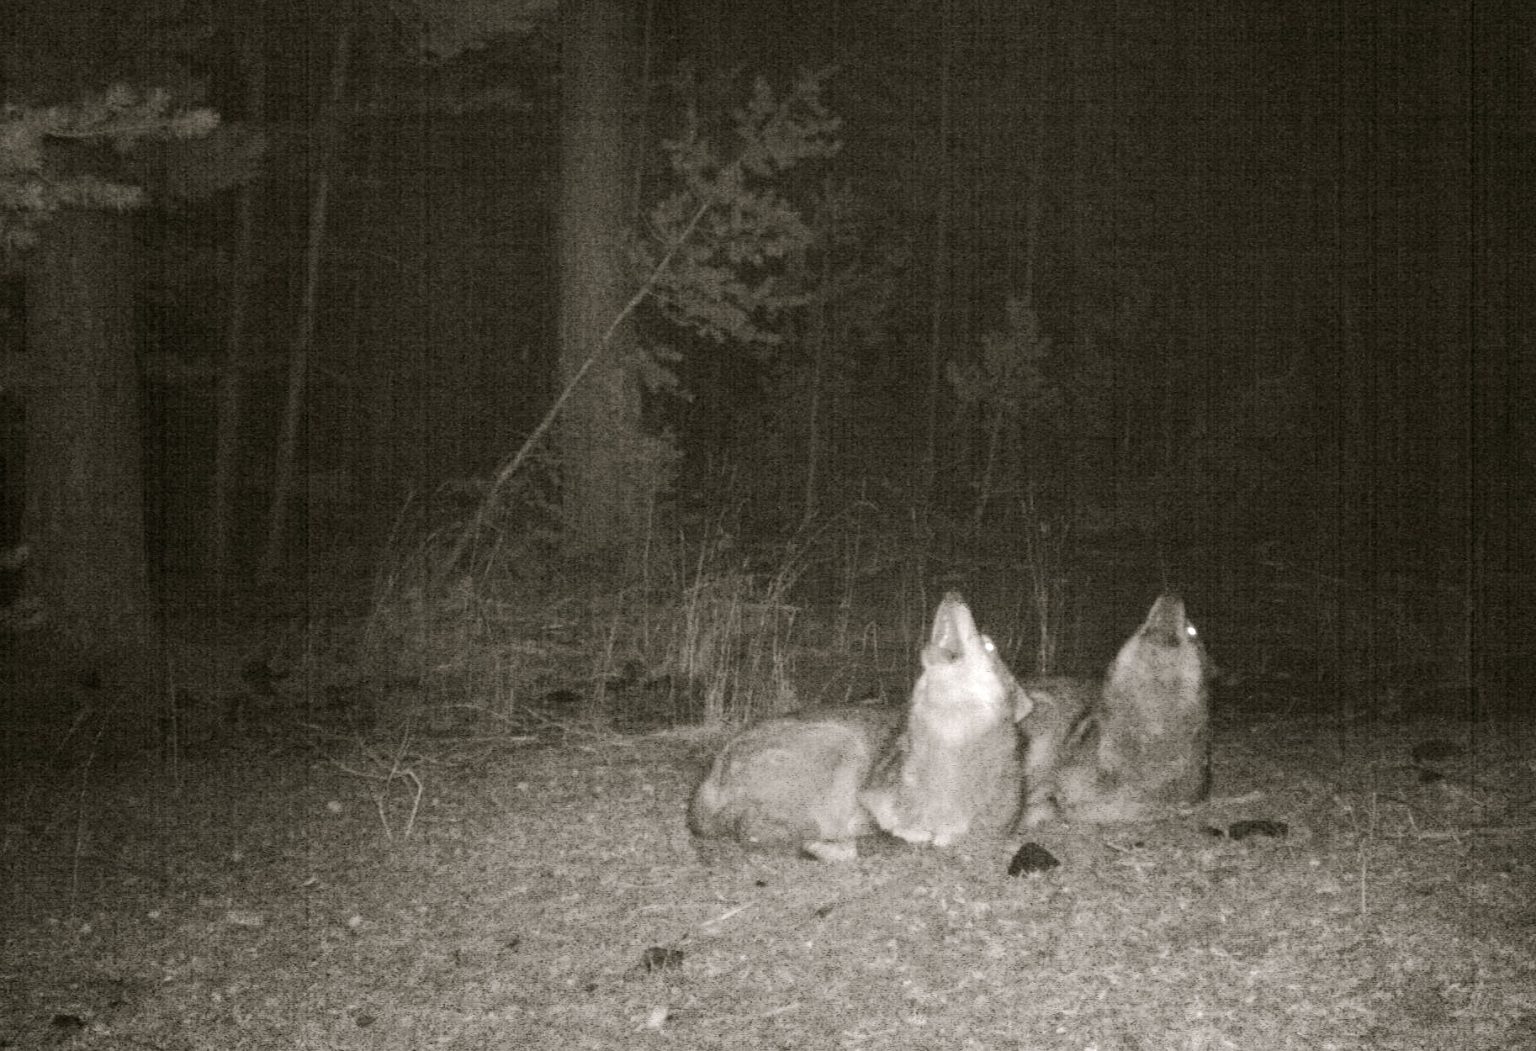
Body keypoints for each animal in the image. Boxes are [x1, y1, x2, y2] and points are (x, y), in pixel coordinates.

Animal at [688, 593, 1024, 861]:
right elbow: (897, 826)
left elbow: (950, 835)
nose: (954, 593)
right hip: (844, 746)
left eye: (989, 645)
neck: (946, 747)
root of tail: (707, 780)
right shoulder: (866, 797)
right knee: (754, 828)